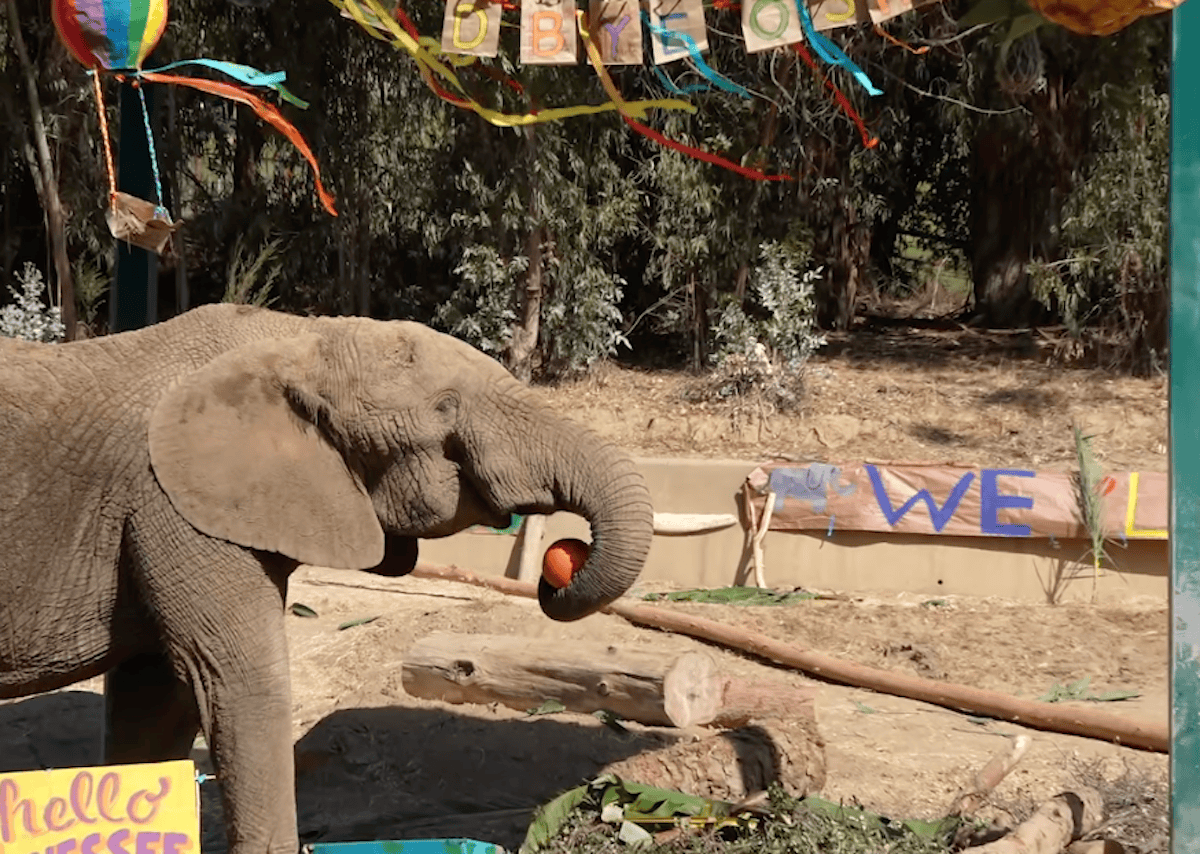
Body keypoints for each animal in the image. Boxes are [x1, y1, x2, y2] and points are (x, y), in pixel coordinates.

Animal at [0, 304, 654, 854]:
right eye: (445, 408)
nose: (555, 570)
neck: (295, 338)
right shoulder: (171, 506)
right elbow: (236, 684)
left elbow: (158, 698)